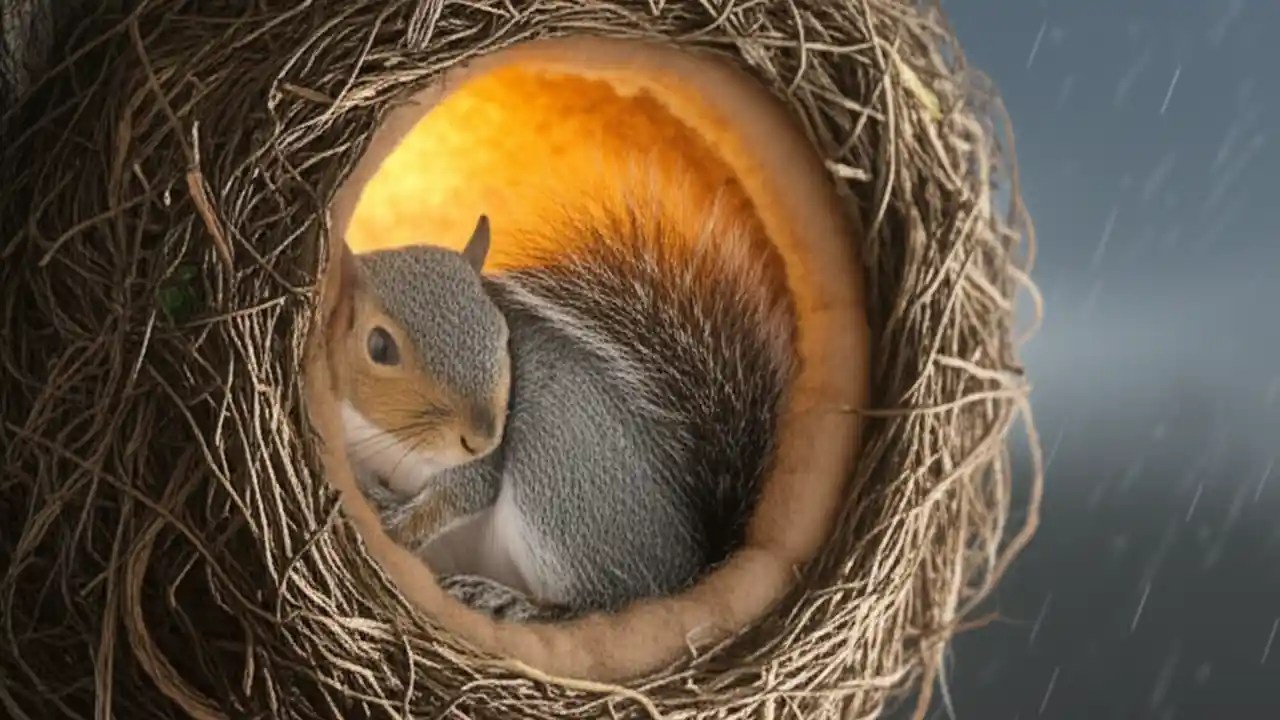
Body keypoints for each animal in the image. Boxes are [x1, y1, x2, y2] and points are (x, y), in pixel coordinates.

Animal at [338, 199, 796, 621]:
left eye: (504, 335)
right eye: (379, 347)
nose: (483, 437)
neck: (386, 439)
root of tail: (694, 563)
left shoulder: (479, 468)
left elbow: (462, 493)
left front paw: (395, 525)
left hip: (559, 471)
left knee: (597, 605)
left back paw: (505, 599)